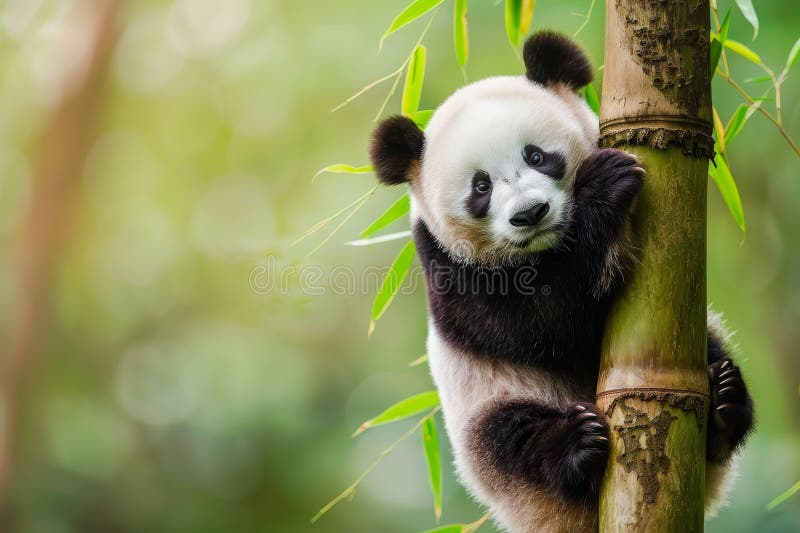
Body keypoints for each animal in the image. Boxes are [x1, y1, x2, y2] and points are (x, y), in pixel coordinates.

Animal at [368, 31, 754, 532]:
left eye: (536, 155)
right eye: (480, 187)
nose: (530, 213)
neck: (548, 249)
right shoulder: (448, 268)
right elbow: (544, 325)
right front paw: (603, 189)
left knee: (712, 352)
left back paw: (725, 403)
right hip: (486, 413)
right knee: (509, 442)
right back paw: (576, 446)